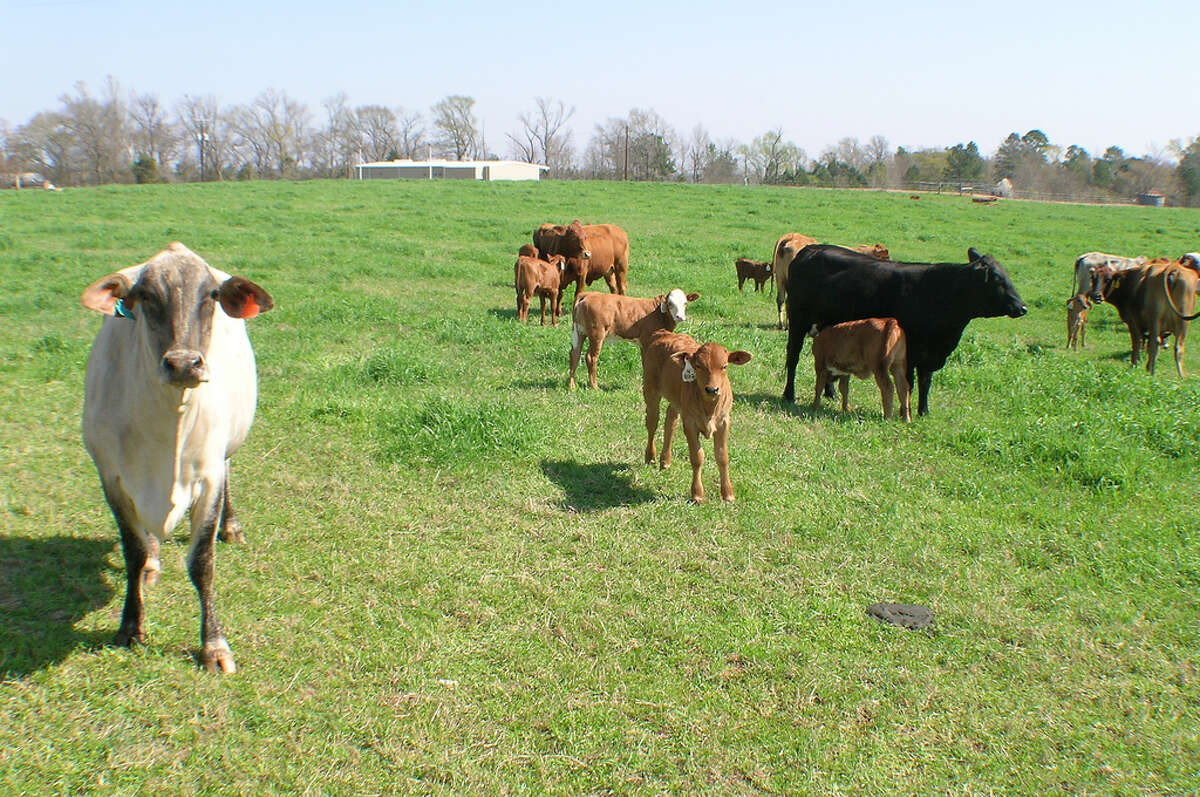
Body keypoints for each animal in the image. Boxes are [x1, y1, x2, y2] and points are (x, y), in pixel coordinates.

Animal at [80, 242, 273, 674]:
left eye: (212, 297)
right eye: (145, 296)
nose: (184, 363)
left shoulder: (209, 477)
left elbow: (202, 563)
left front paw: (214, 646)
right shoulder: (111, 477)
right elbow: (133, 552)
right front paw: (130, 626)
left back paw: (232, 527)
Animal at [568, 289, 699, 389]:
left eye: (685, 303)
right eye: (670, 303)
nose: (680, 316)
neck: (658, 314)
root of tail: (588, 294)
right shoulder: (647, 342)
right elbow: (647, 363)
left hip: (579, 331)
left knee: (575, 354)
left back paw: (572, 386)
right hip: (597, 334)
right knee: (591, 357)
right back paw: (594, 386)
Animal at [639, 330, 752, 502]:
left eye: (724, 366)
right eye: (698, 366)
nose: (712, 389)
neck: (709, 408)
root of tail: (662, 333)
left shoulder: (724, 422)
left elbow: (722, 456)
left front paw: (728, 494)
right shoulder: (690, 423)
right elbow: (697, 457)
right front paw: (697, 494)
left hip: (676, 401)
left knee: (670, 420)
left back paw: (665, 461)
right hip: (650, 390)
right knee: (652, 422)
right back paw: (650, 456)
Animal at [782, 245, 1028, 416]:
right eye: (997, 278)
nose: (1022, 307)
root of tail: (810, 249)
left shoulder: (929, 355)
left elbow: (926, 383)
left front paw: (924, 412)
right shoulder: (912, 351)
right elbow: (910, 383)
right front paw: (905, 411)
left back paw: (830, 393)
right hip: (798, 321)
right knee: (793, 358)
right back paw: (789, 394)